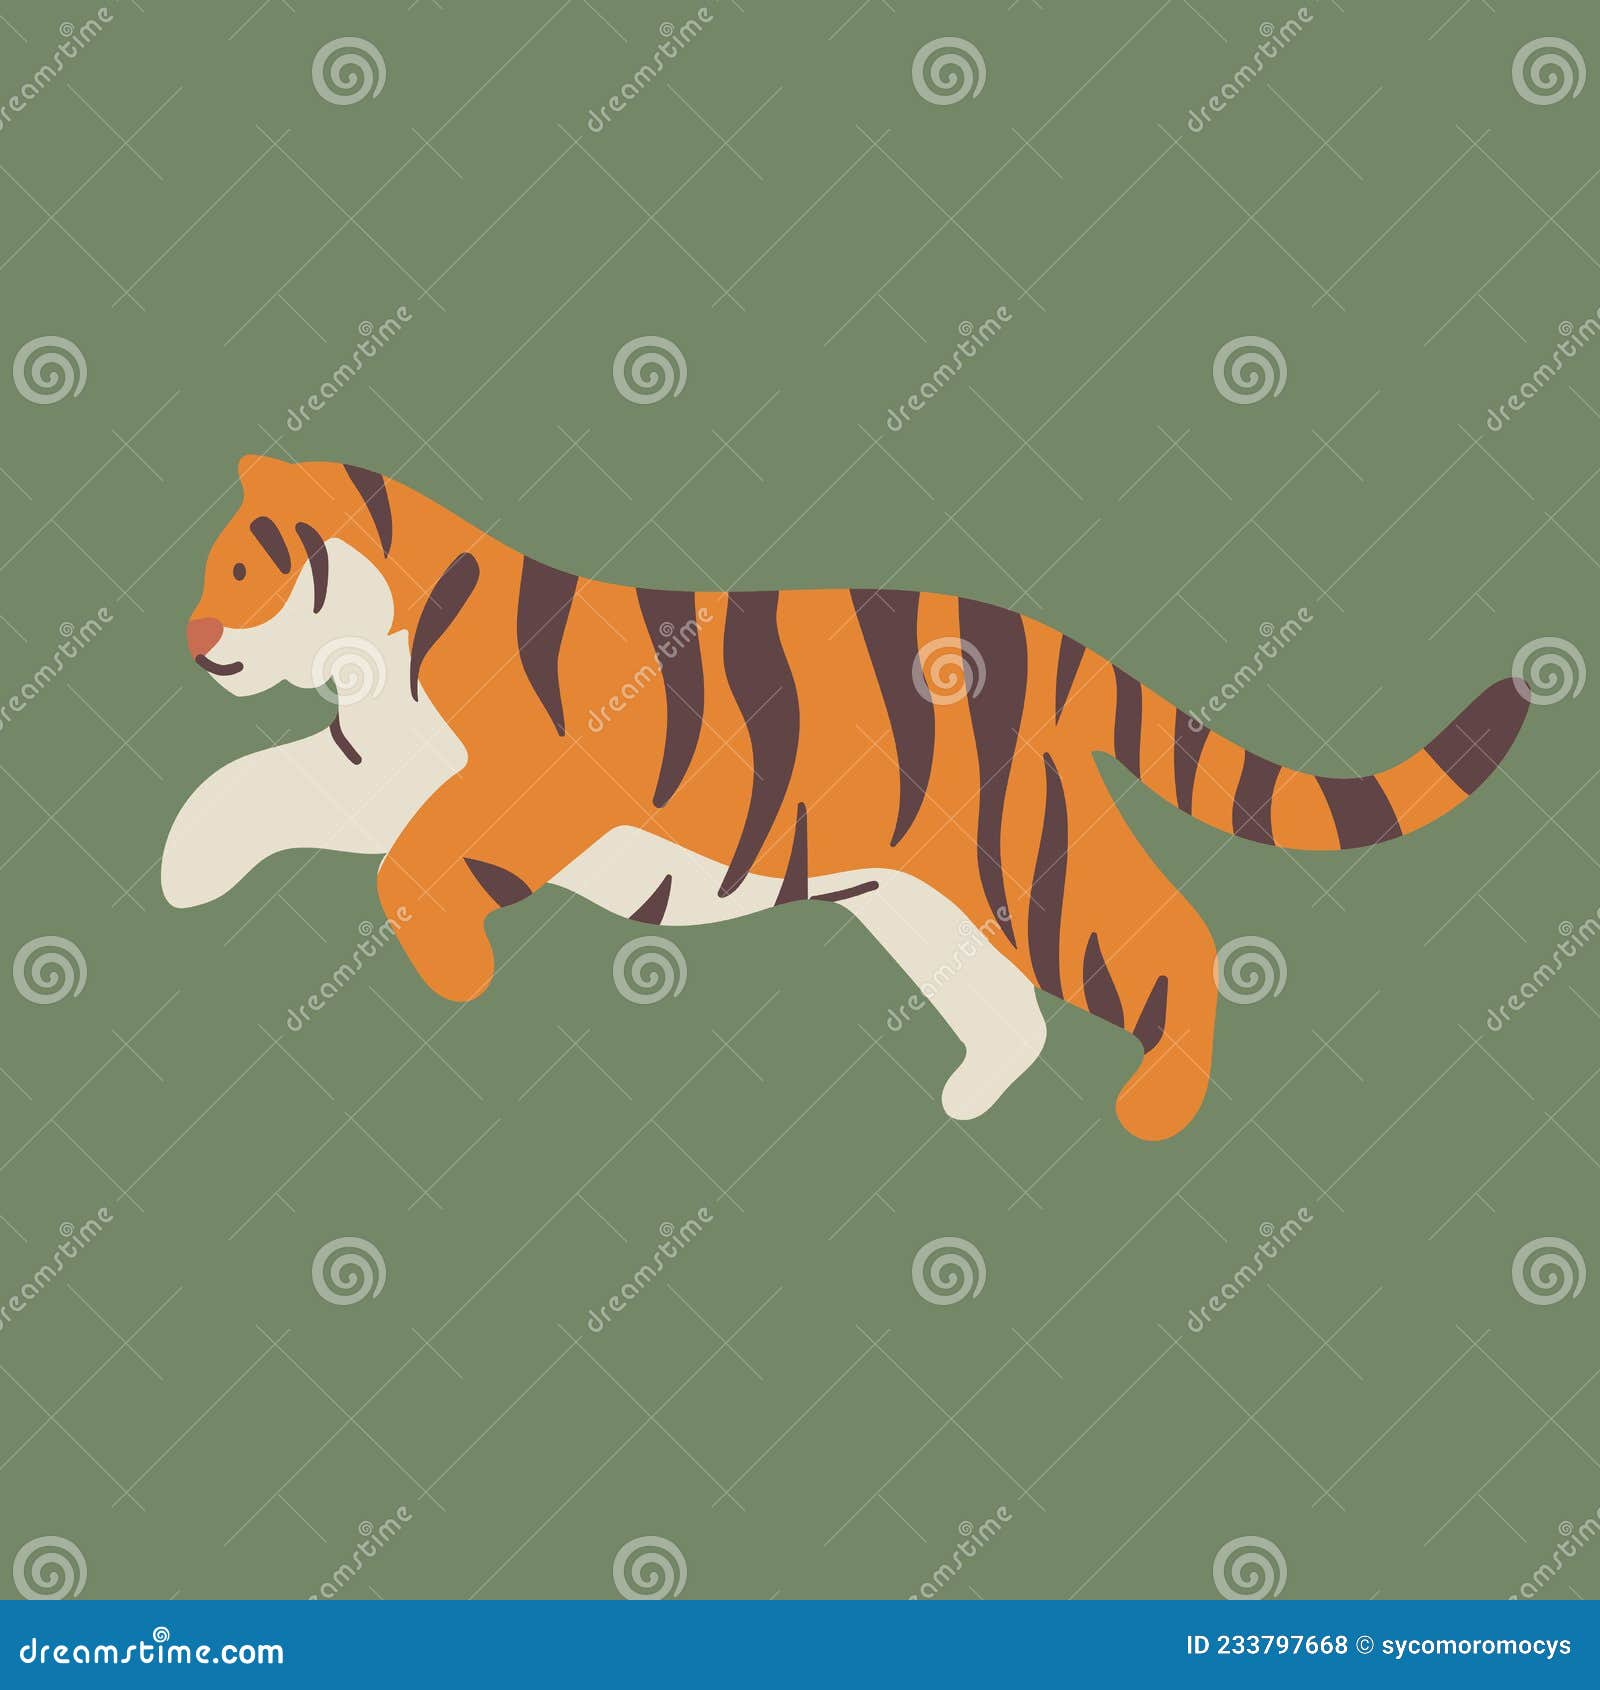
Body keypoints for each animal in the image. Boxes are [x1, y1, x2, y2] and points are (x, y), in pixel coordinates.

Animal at [162, 455, 1529, 1139]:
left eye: (239, 566)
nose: (193, 642)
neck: (364, 650)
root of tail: (1042, 639)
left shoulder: (534, 786)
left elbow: (416, 861)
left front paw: (456, 974)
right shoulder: (366, 768)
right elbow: (248, 786)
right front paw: (183, 869)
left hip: (1027, 863)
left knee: (1174, 940)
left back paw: (1157, 1110)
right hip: (915, 897)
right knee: (1010, 1011)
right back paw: (974, 1097)